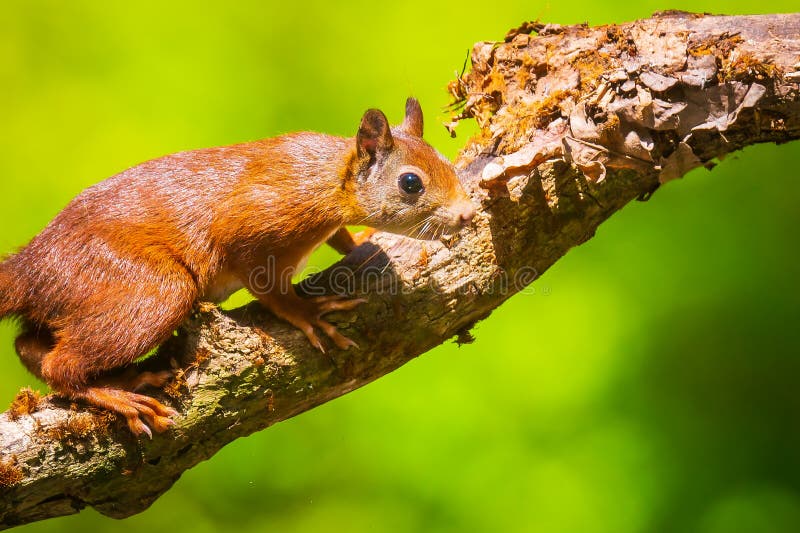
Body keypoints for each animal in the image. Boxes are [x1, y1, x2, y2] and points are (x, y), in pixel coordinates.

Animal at [0, 98, 475, 437]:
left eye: (445, 161)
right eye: (410, 183)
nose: (468, 214)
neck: (326, 179)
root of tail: (31, 266)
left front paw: (356, 240)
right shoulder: (252, 227)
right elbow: (270, 289)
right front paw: (311, 314)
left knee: (27, 345)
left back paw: (128, 377)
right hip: (152, 291)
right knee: (60, 366)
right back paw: (118, 395)